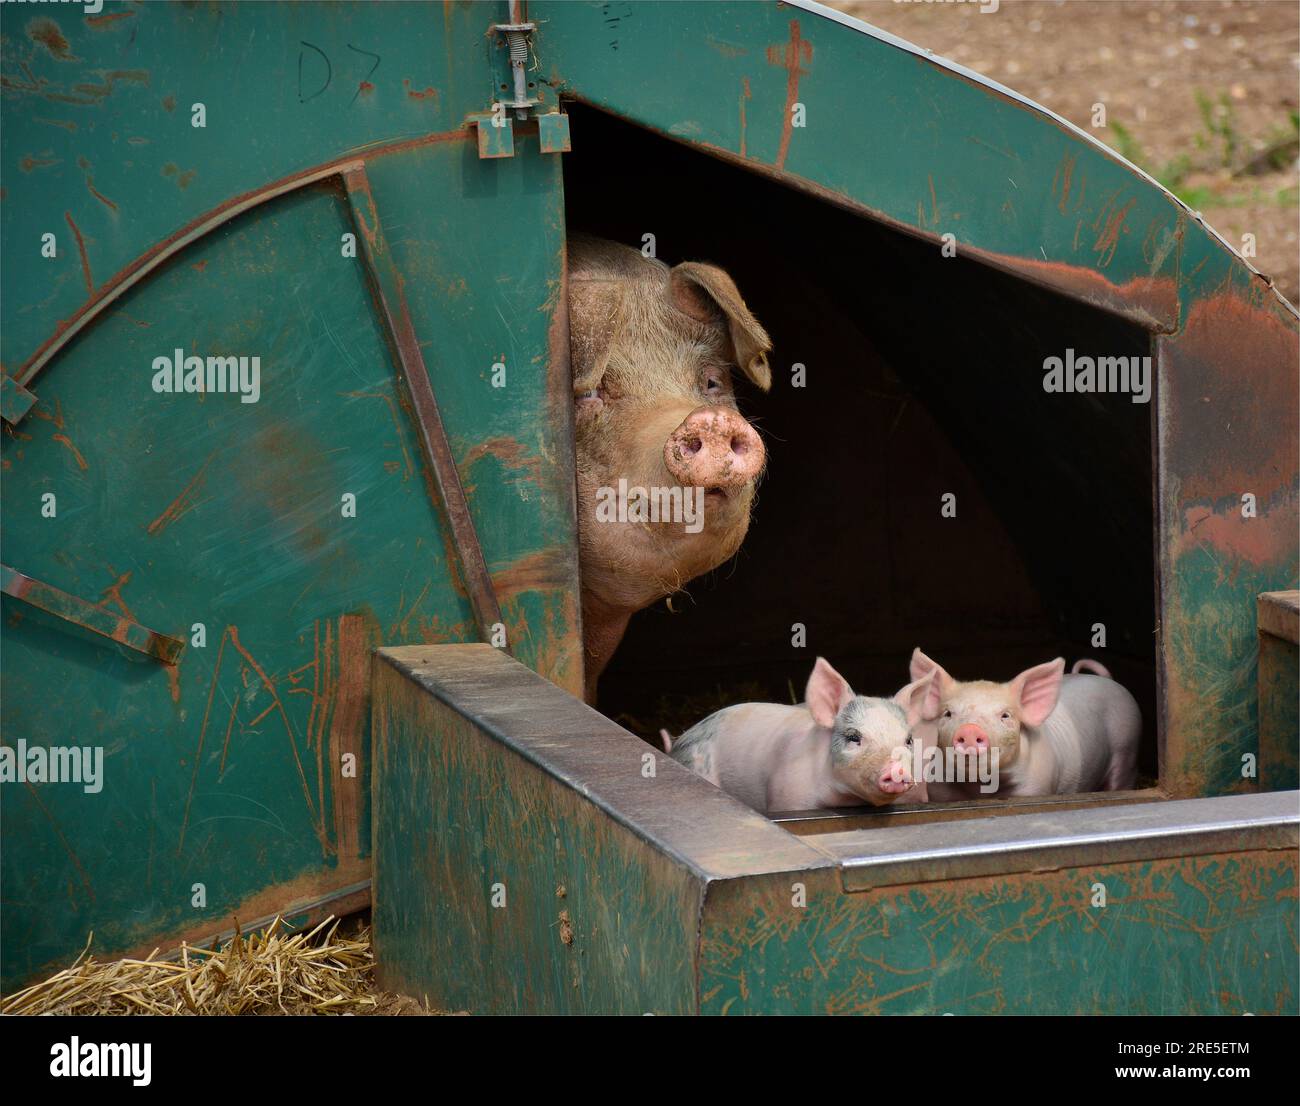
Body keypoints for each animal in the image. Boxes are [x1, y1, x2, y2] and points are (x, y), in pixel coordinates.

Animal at [663, 657, 933, 815]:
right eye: (854, 737)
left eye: (908, 740)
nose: (897, 771)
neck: (844, 799)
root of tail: (678, 742)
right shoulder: (787, 797)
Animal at [910, 649, 1141, 801]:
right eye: (948, 713)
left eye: (1005, 715)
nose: (969, 729)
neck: (979, 788)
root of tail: (1109, 681)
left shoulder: (1037, 786)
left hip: (1127, 749)